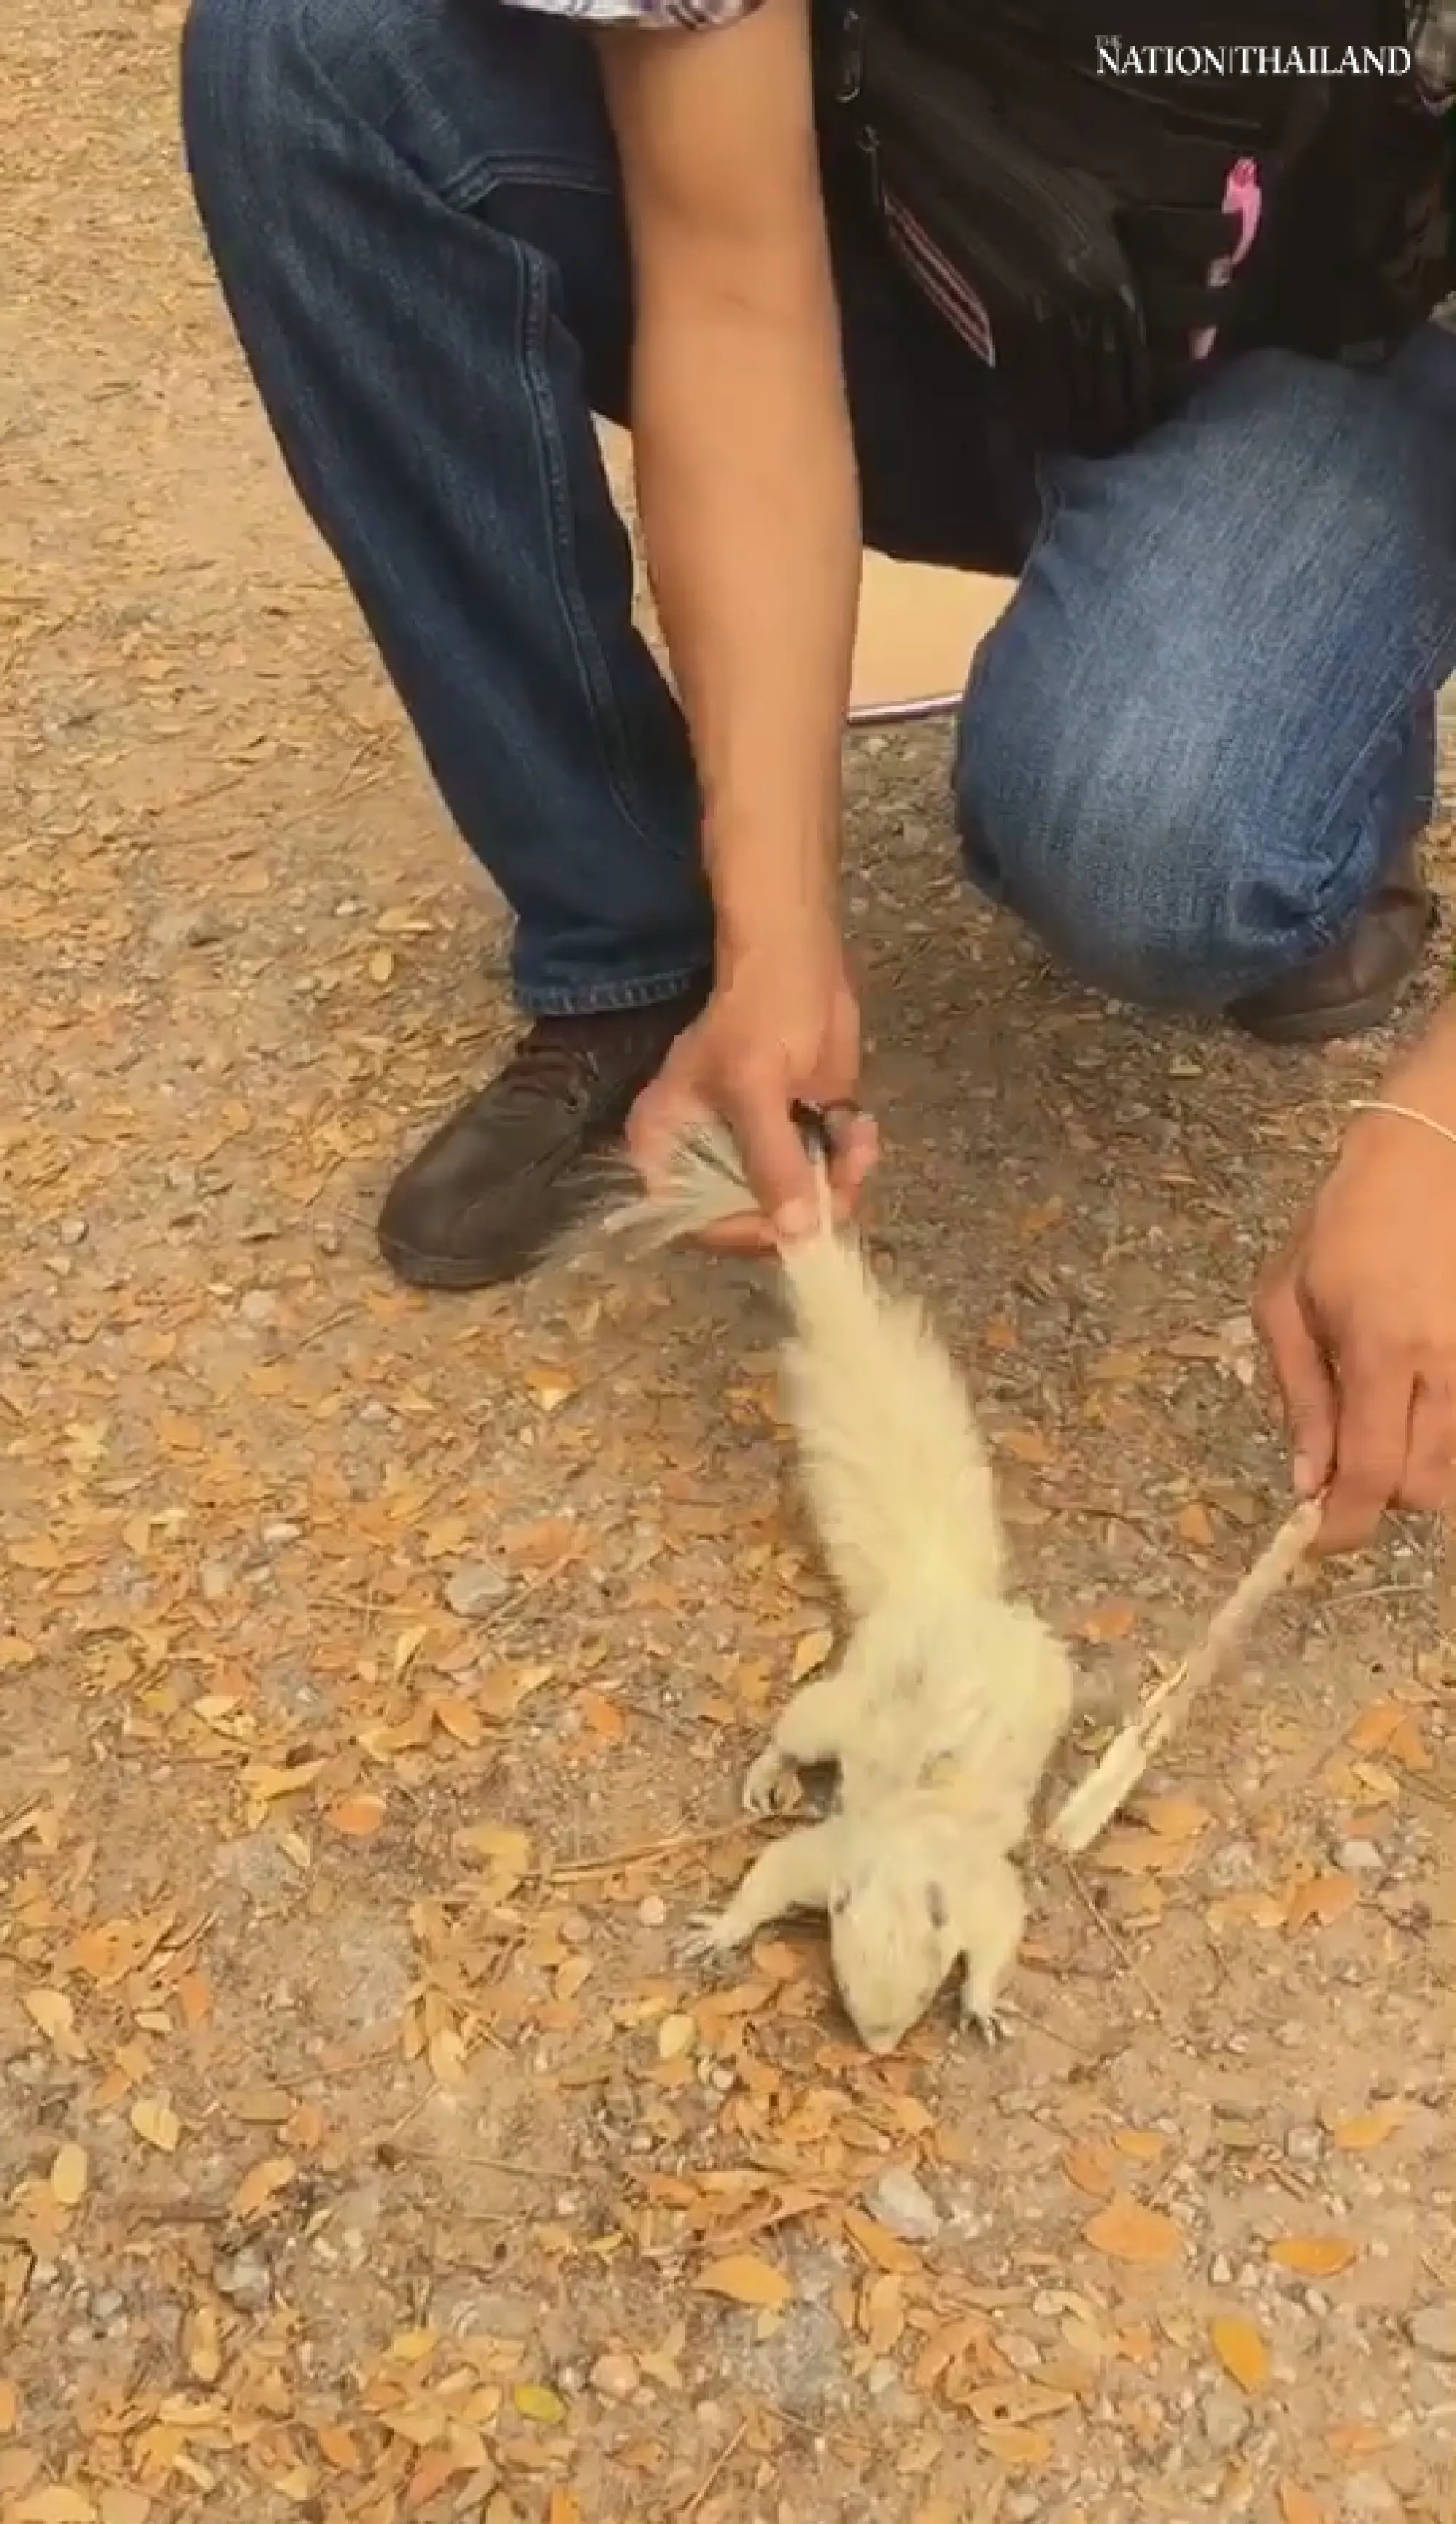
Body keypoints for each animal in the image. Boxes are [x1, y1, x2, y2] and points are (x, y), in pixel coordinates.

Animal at [602, 1114, 1074, 2057]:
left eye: (922, 1985)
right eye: (848, 1985)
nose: (879, 2044)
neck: (903, 1851)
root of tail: (935, 1592)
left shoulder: (975, 1882)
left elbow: (1002, 1924)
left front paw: (983, 2002)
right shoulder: (831, 1855)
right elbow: (771, 1869)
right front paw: (721, 1928)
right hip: (838, 1705)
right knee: (796, 1733)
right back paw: (764, 1773)